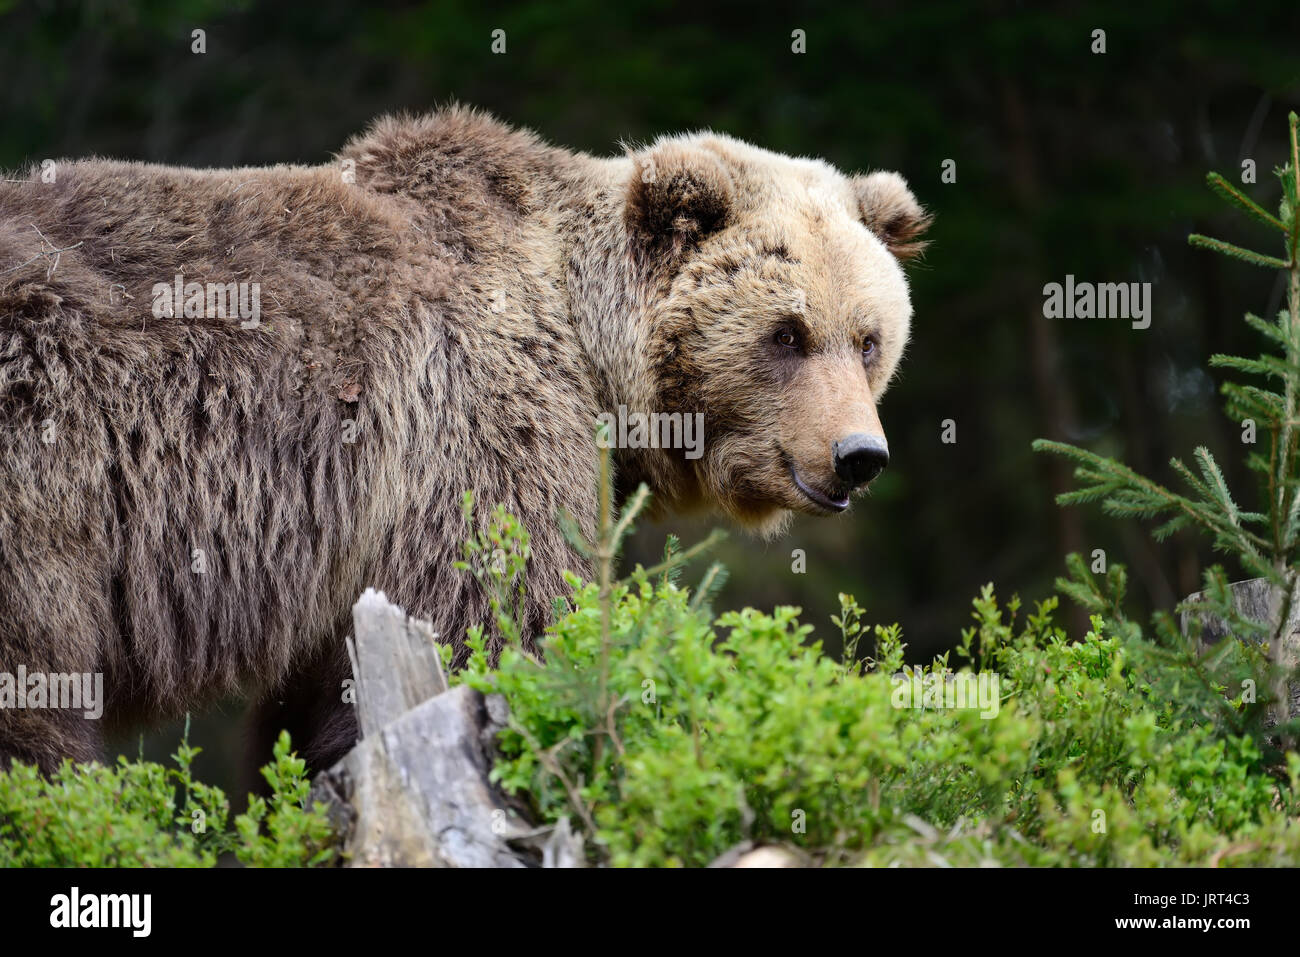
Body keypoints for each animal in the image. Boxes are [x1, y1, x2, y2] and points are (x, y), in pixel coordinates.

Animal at [0, 106, 929, 775]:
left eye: (868, 338)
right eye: (787, 334)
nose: (857, 455)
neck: (589, 349)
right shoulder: (474, 427)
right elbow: (497, 617)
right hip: (46, 480)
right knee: (33, 687)